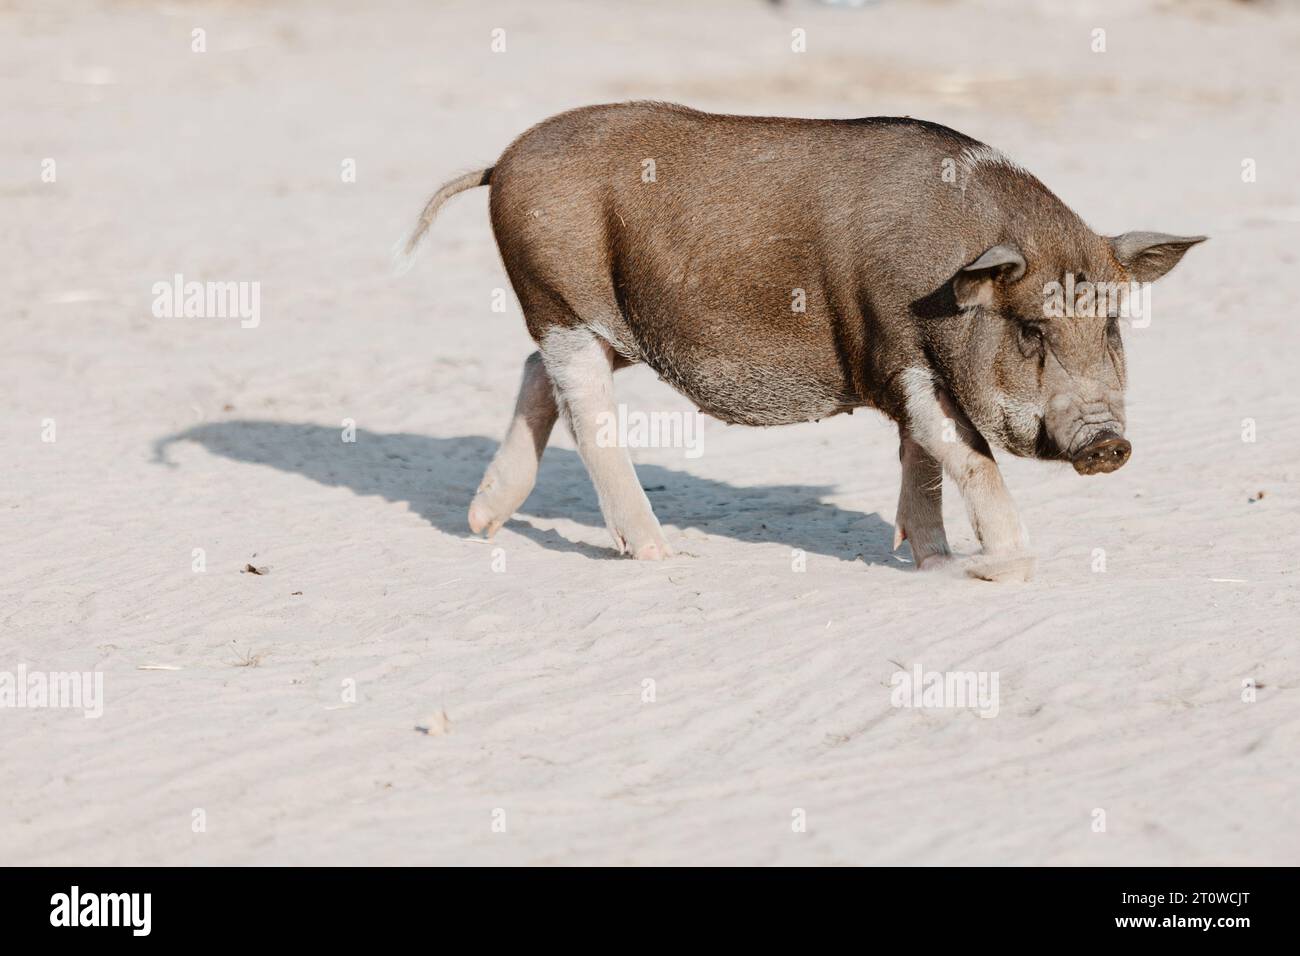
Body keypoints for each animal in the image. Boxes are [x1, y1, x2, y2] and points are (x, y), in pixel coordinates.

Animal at [402, 102, 1204, 580]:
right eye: (1033, 328)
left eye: (1111, 323)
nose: (1108, 443)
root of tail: (503, 162)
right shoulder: (895, 351)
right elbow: (967, 454)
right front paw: (1006, 565)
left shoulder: (911, 368)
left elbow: (925, 460)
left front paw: (935, 562)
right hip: (558, 299)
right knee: (587, 412)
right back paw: (662, 556)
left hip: (611, 326)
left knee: (534, 372)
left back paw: (481, 524)